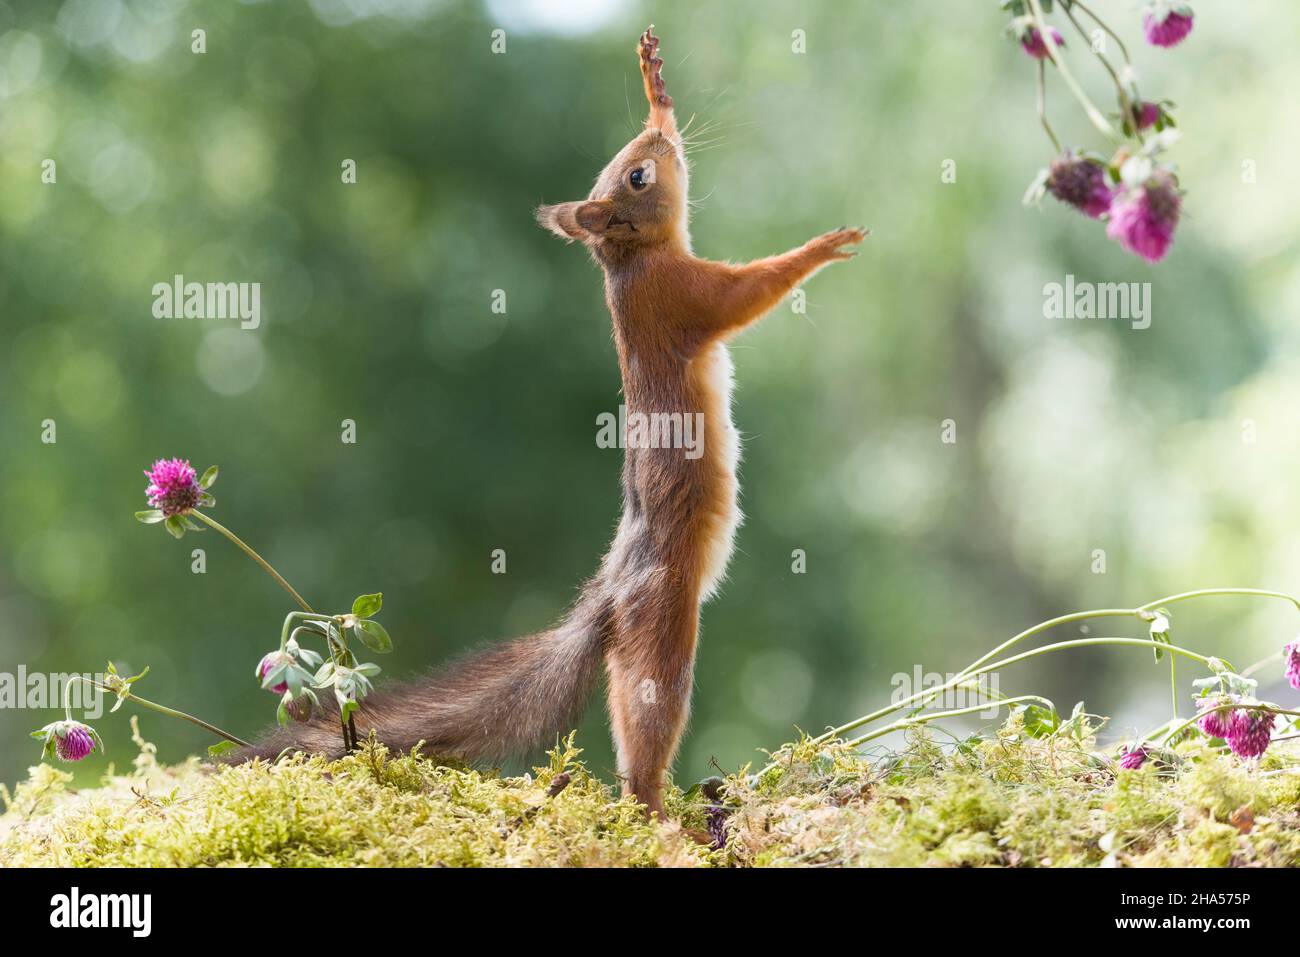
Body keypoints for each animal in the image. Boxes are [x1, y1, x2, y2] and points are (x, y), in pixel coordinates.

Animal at [235, 26, 865, 819]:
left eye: (636, 157)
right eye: (637, 177)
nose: (665, 141)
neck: (628, 260)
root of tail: (611, 593)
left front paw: (656, 83)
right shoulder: (685, 299)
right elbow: (749, 291)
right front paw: (821, 247)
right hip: (664, 626)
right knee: (648, 720)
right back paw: (662, 814)